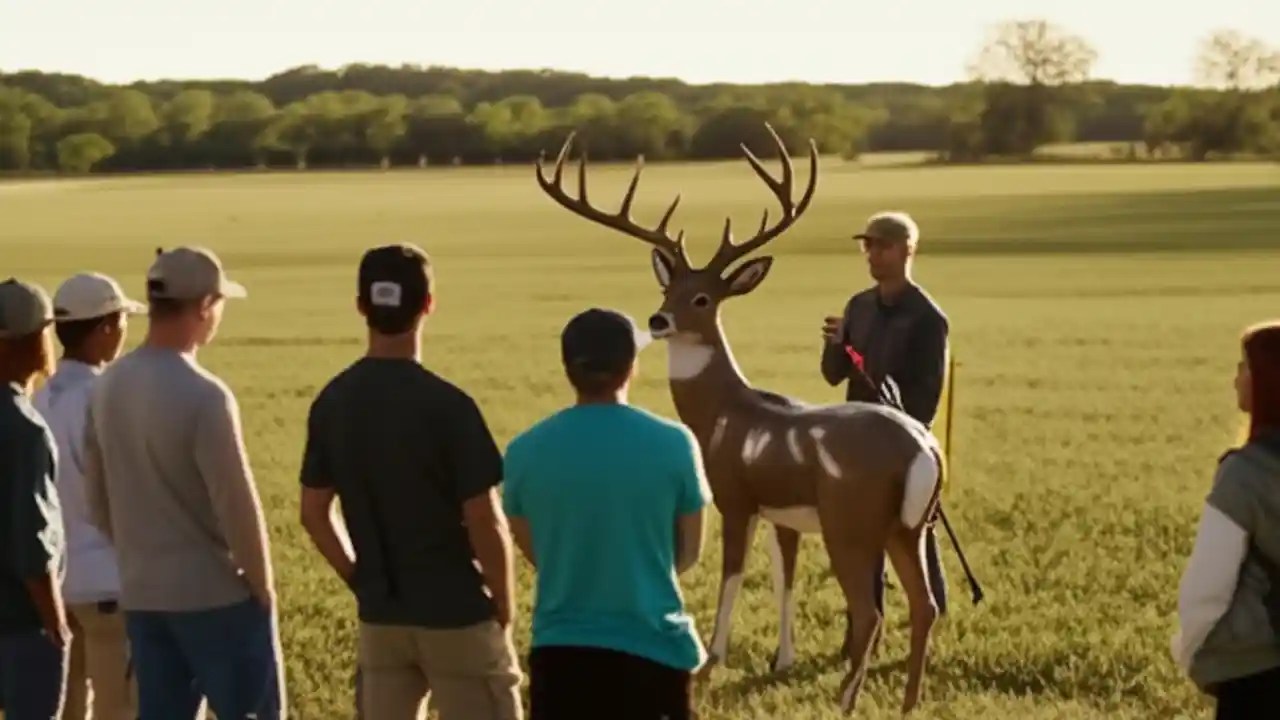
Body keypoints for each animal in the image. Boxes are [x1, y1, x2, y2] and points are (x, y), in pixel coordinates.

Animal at [533, 124, 945, 715]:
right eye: (668, 288)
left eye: (704, 297)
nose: (658, 319)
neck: (723, 413)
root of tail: (924, 450)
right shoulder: (782, 513)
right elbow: (783, 578)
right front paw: (783, 659)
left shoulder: (733, 495)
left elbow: (732, 575)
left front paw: (710, 663)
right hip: (908, 525)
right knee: (924, 603)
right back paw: (908, 701)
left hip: (851, 520)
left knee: (872, 611)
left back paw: (845, 699)